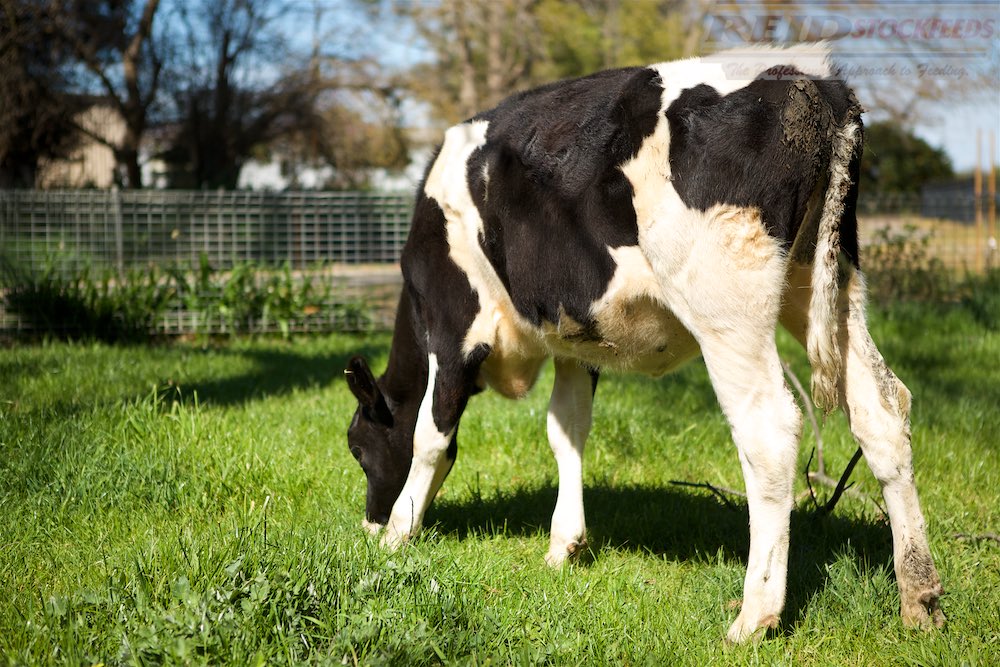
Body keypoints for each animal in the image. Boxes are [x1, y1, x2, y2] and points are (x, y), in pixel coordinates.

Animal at [344, 44, 944, 642]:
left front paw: (399, 533)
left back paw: (754, 615)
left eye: (357, 447)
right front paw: (565, 544)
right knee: (882, 408)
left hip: (727, 305)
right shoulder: (575, 339)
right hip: (827, 283)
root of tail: (814, 81)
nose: (367, 524)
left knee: (769, 430)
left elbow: (430, 436)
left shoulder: (452, 326)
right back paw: (919, 598)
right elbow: (566, 430)